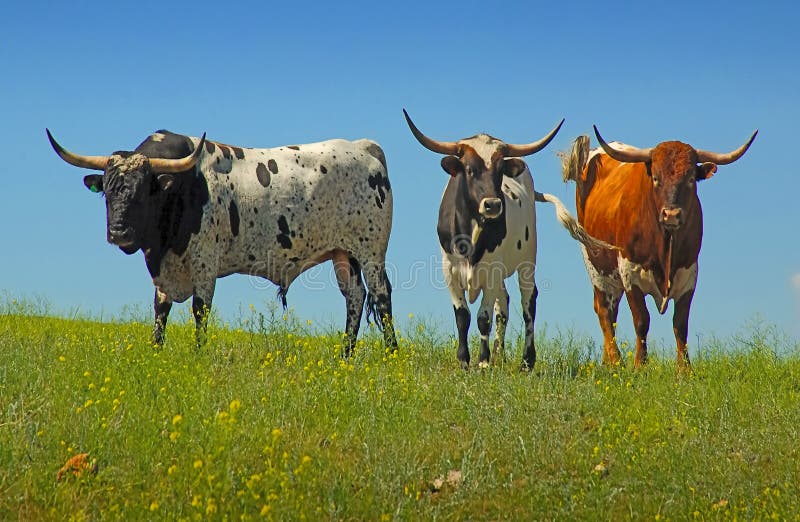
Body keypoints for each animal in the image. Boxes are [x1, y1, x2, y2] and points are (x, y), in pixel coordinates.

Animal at [46, 129, 398, 355]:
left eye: (144, 191)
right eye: (107, 191)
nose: (119, 232)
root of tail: (363, 147)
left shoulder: (204, 261)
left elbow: (200, 310)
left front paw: (198, 356)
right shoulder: (164, 268)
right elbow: (160, 310)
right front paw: (155, 353)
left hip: (370, 251)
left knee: (381, 297)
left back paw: (391, 355)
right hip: (343, 253)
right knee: (354, 297)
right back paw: (345, 358)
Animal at [403, 110, 614, 371]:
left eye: (498, 171)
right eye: (469, 170)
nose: (493, 204)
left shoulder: (492, 270)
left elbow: (483, 318)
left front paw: (482, 362)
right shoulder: (449, 270)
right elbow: (463, 316)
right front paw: (465, 360)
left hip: (527, 263)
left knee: (528, 302)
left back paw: (526, 361)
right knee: (503, 304)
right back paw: (498, 355)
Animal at [560, 126, 757, 370]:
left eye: (690, 178)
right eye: (655, 178)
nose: (671, 214)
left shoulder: (689, 274)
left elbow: (680, 324)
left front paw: (684, 369)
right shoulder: (630, 273)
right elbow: (641, 321)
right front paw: (640, 366)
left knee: (611, 312)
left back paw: (608, 362)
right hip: (596, 267)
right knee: (605, 311)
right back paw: (616, 361)